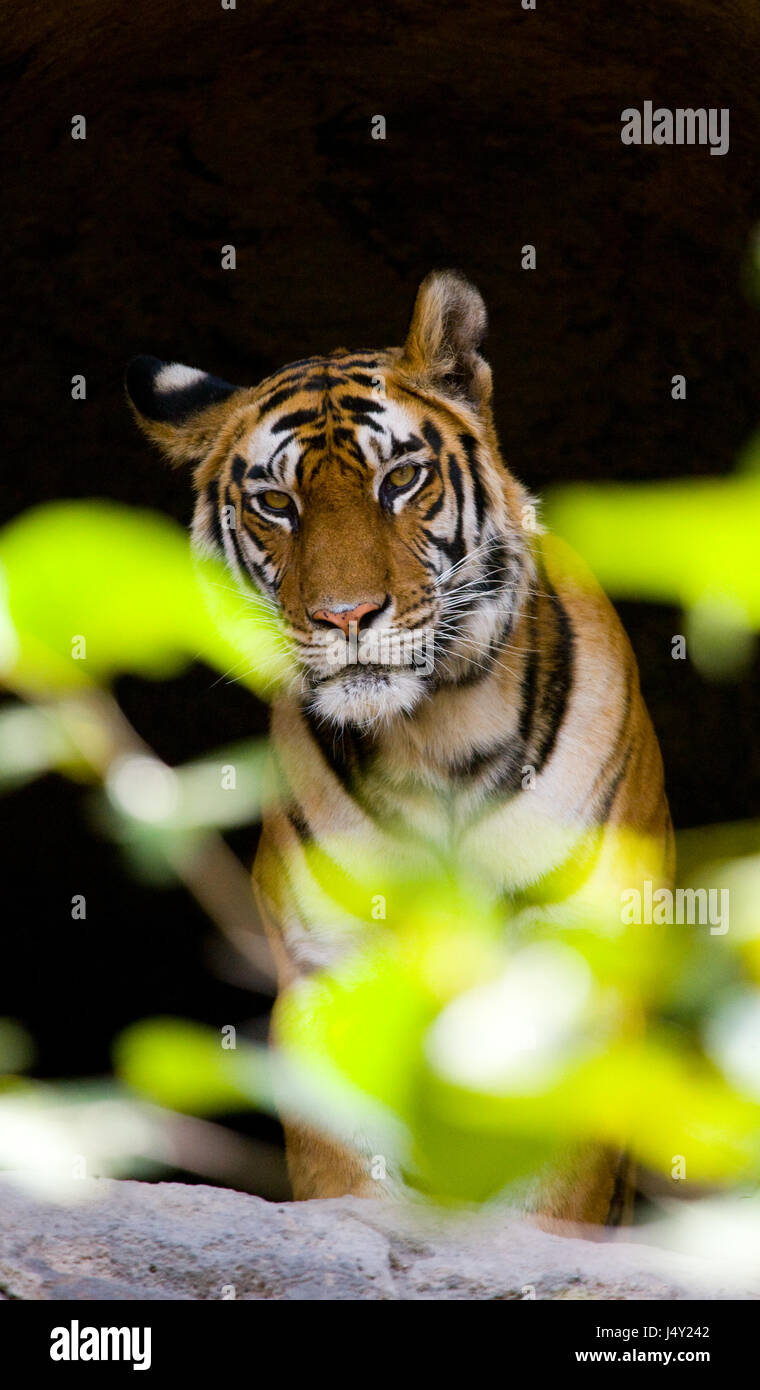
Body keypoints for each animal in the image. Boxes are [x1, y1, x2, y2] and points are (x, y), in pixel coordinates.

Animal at [126, 270, 673, 1225]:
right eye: (277, 503)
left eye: (402, 479)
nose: (345, 616)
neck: (434, 737)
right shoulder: (329, 971)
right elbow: (344, 1176)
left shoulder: (580, 973)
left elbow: (551, 1197)